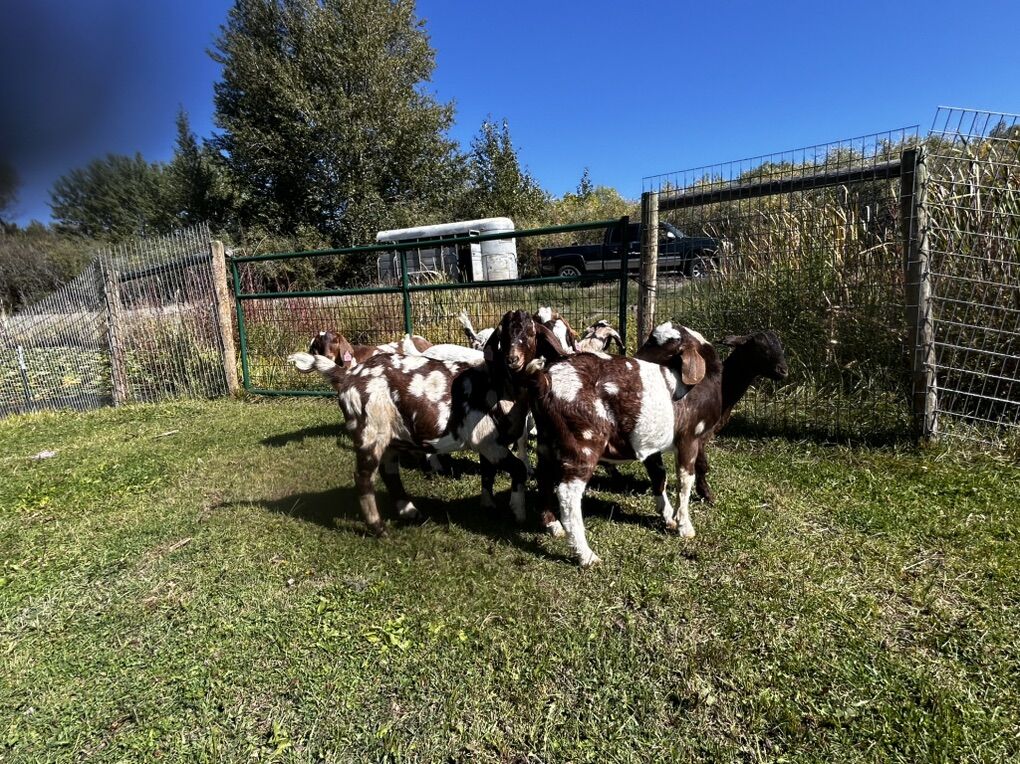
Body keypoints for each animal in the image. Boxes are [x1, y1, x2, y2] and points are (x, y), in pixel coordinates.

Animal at [289, 310, 562, 535]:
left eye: (531, 333)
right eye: (503, 335)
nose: (513, 360)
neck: (498, 383)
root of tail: (346, 376)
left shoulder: (490, 443)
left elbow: (488, 474)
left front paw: (489, 506)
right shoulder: (486, 440)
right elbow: (517, 469)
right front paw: (518, 511)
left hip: (390, 435)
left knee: (389, 472)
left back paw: (410, 511)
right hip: (370, 429)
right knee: (363, 476)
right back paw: (379, 528)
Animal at [526, 321, 716, 566]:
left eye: (661, 342)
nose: (637, 357)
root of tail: (544, 382)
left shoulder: (651, 445)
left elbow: (659, 476)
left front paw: (668, 517)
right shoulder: (689, 438)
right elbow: (685, 480)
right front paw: (685, 527)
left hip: (546, 442)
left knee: (544, 477)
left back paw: (553, 526)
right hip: (582, 441)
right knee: (568, 493)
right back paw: (586, 556)